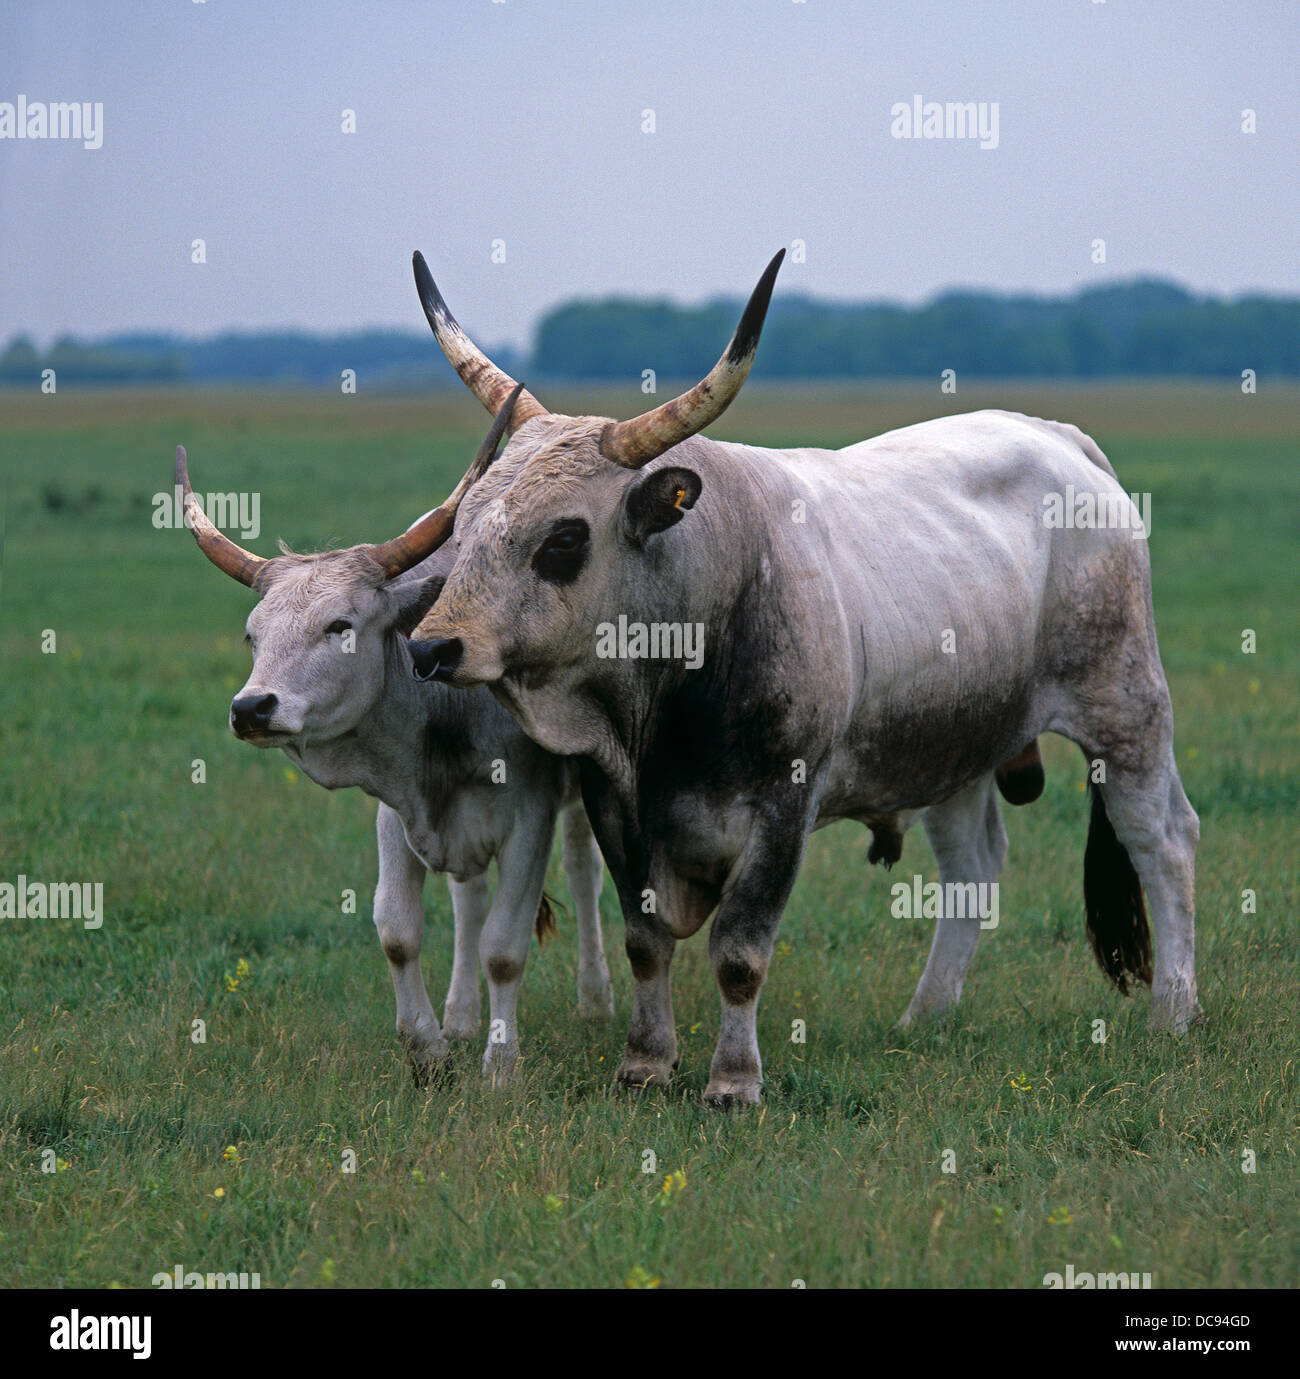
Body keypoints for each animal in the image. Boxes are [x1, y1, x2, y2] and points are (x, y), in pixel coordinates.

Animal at [174, 399, 614, 1084]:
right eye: (252, 634)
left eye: (340, 625)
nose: (251, 708)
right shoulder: (399, 810)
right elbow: (398, 930)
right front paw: (429, 1048)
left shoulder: (530, 816)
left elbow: (505, 947)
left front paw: (500, 1068)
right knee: (468, 899)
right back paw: (460, 1015)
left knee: (582, 873)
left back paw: (594, 999)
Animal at [404, 248, 1202, 1107]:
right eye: (464, 520)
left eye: (562, 539)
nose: (432, 646)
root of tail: (1058, 436)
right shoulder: (613, 805)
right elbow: (646, 942)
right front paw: (645, 1063)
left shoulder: (780, 809)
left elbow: (739, 951)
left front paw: (733, 1081)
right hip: (957, 740)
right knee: (973, 866)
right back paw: (926, 1016)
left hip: (1124, 706)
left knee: (1162, 839)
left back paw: (1174, 1012)